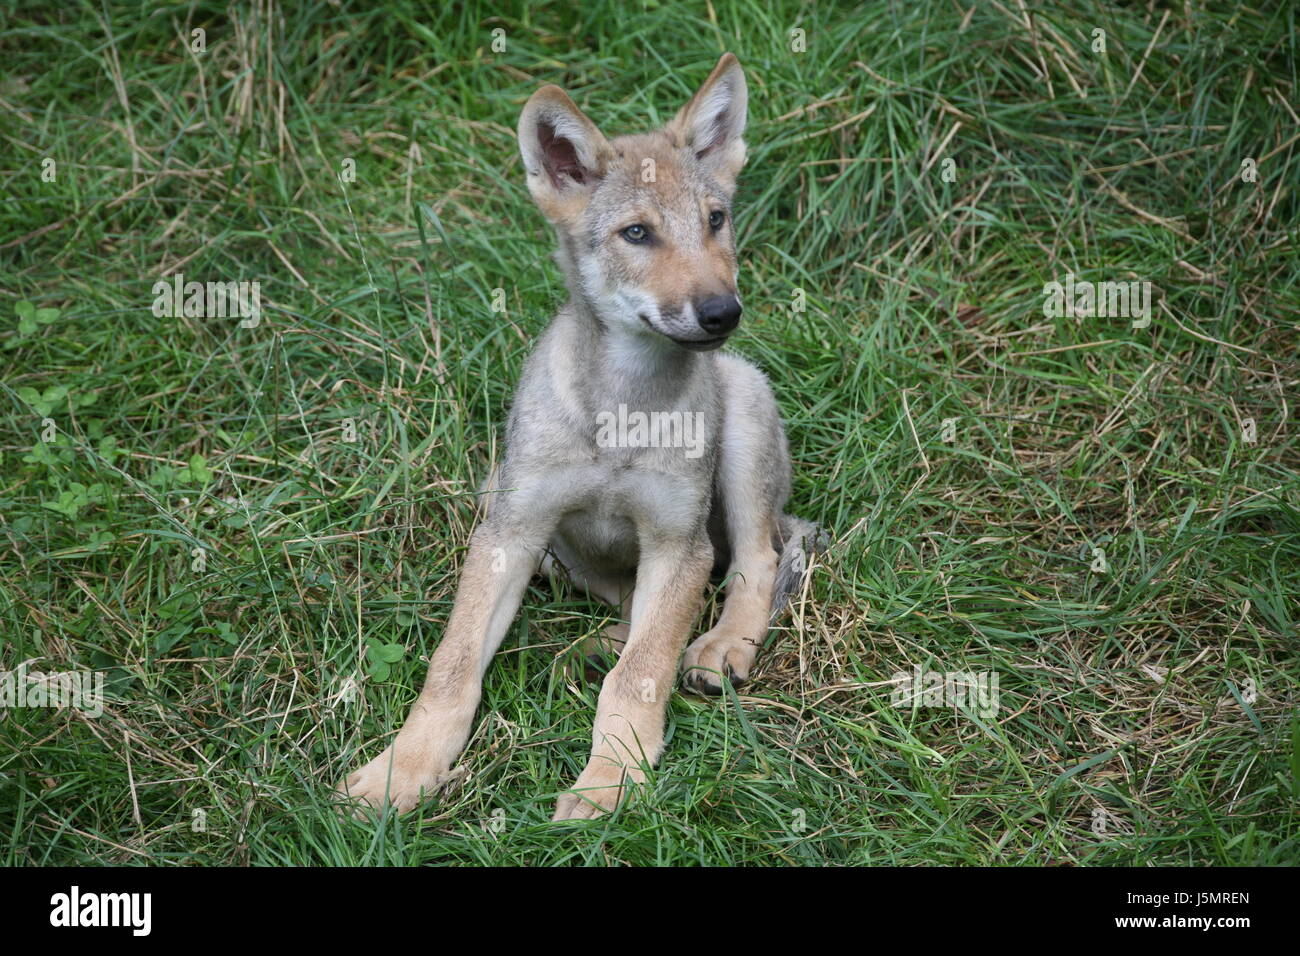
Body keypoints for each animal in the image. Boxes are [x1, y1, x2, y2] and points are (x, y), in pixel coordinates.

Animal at [341, 53, 824, 820]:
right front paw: (402, 772)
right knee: (635, 605)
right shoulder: (509, 534)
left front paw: (609, 783)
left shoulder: (680, 545)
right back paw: (598, 646)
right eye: (637, 234)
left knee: (756, 562)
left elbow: (639, 678)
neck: (620, 416)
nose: (722, 312)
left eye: (715, 220)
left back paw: (718, 650)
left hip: (743, 434)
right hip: (511, 509)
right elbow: (451, 669)